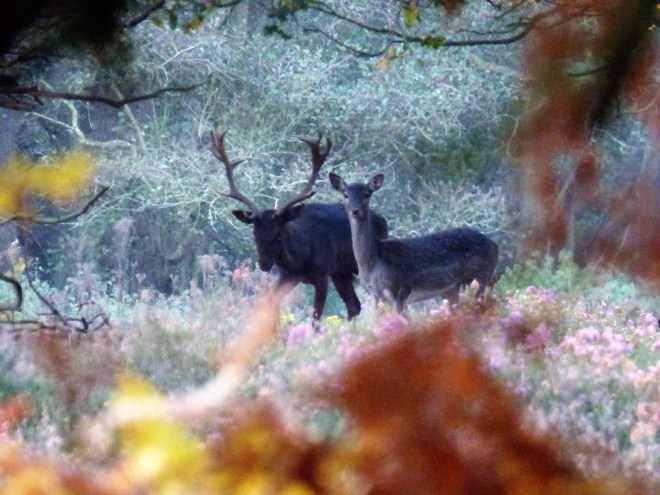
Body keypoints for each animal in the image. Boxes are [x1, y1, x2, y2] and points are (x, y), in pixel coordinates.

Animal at [210, 130, 388, 322]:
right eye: (254, 233)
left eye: (279, 233)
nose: (264, 264)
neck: (301, 258)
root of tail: (382, 219)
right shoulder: (288, 275)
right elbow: (271, 303)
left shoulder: (322, 273)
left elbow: (316, 316)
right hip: (341, 272)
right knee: (354, 306)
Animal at [329, 172, 498, 313]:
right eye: (345, 194)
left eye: (367, 194)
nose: (355, 210)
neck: (372, 263)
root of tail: (495, 245)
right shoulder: (376, 296)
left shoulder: (400, 291)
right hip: (452, 289)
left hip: (480, 276)